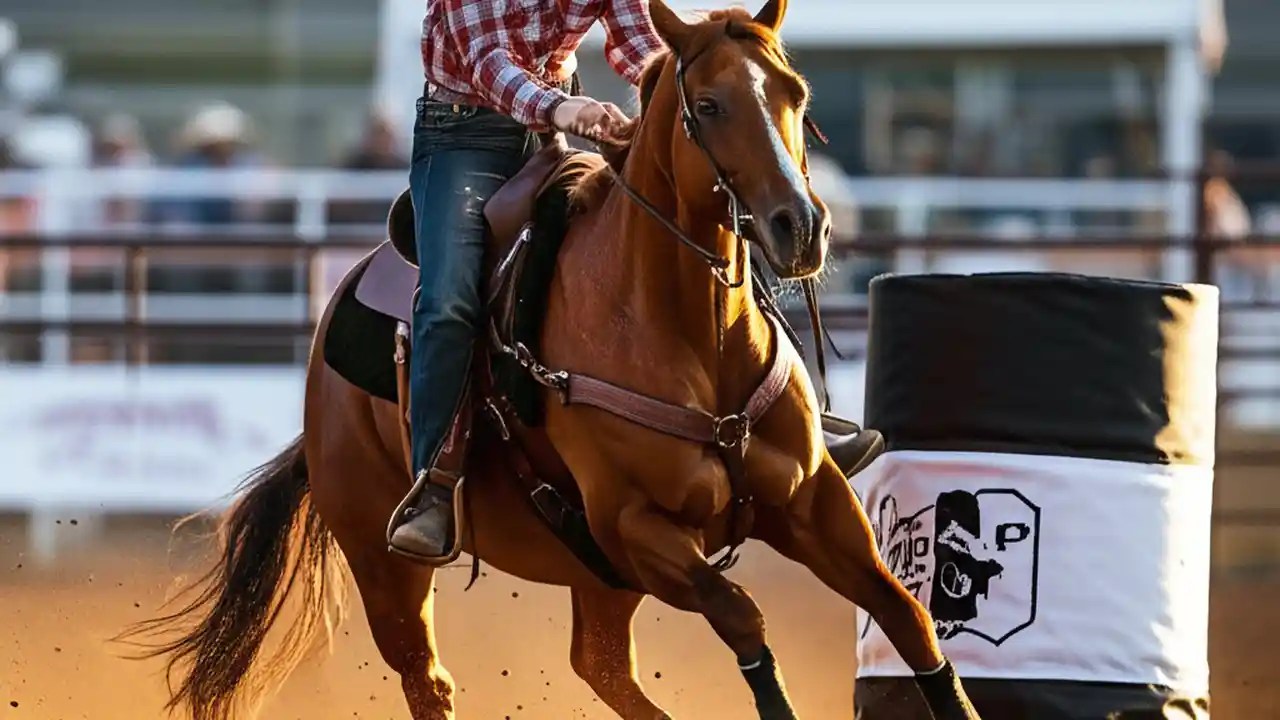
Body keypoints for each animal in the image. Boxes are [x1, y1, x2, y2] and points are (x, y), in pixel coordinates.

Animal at [119, 2, 979, 719]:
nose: (799, 227)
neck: (688, 336)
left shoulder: (809, 499)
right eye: (708, 106)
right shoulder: (639, 526)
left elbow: (907, 616)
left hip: (596, 576)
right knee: (428, 679)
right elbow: (744, 617)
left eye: (795, 93)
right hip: (384, 559)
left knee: (600, 668)